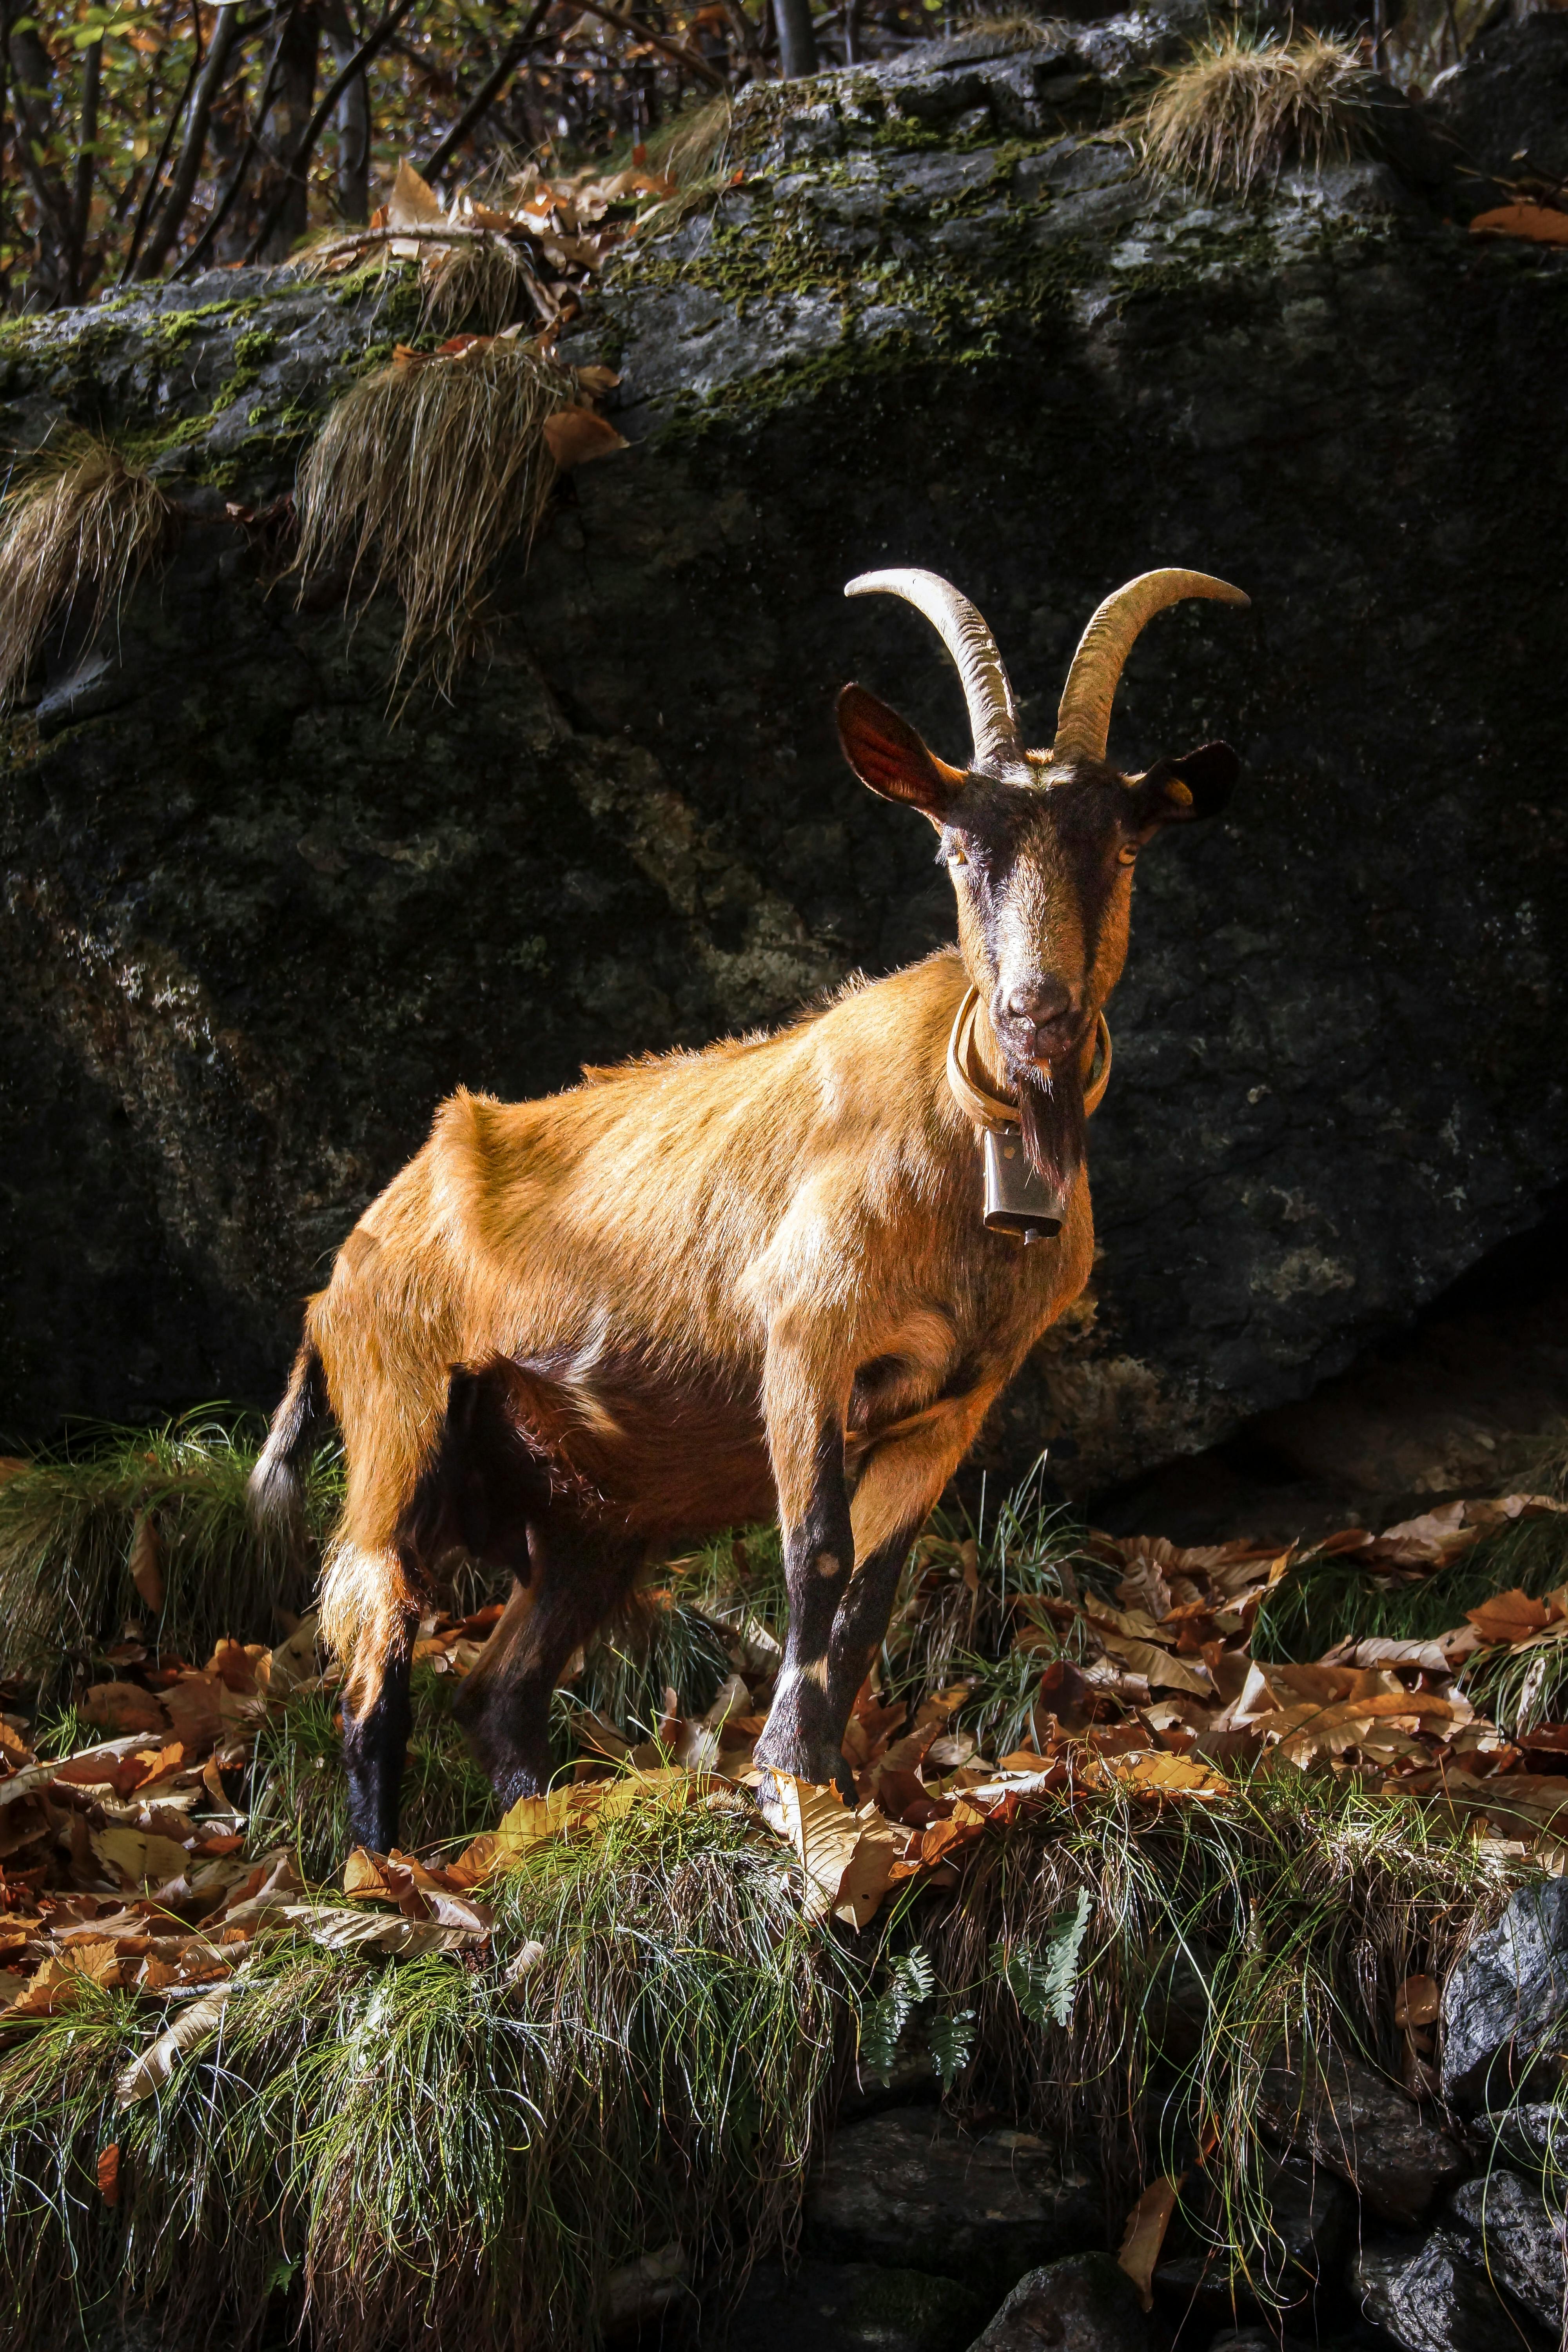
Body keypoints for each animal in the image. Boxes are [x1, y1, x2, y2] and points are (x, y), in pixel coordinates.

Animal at [253, 565, 1247, 1848]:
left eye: (1119, 846)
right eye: (956, 848)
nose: (1038, 1008)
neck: (963, 1139)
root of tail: (344, 1267)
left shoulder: (951, 1406)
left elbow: (873, 1586)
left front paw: (813, 1779)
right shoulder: (803, 1339)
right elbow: (817, 1555)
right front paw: (790, 1783)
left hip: (589, 1517)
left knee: (500, 1686)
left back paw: (536, 1825)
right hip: (398, 1421)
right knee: (372, 1655)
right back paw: (381, 1871)